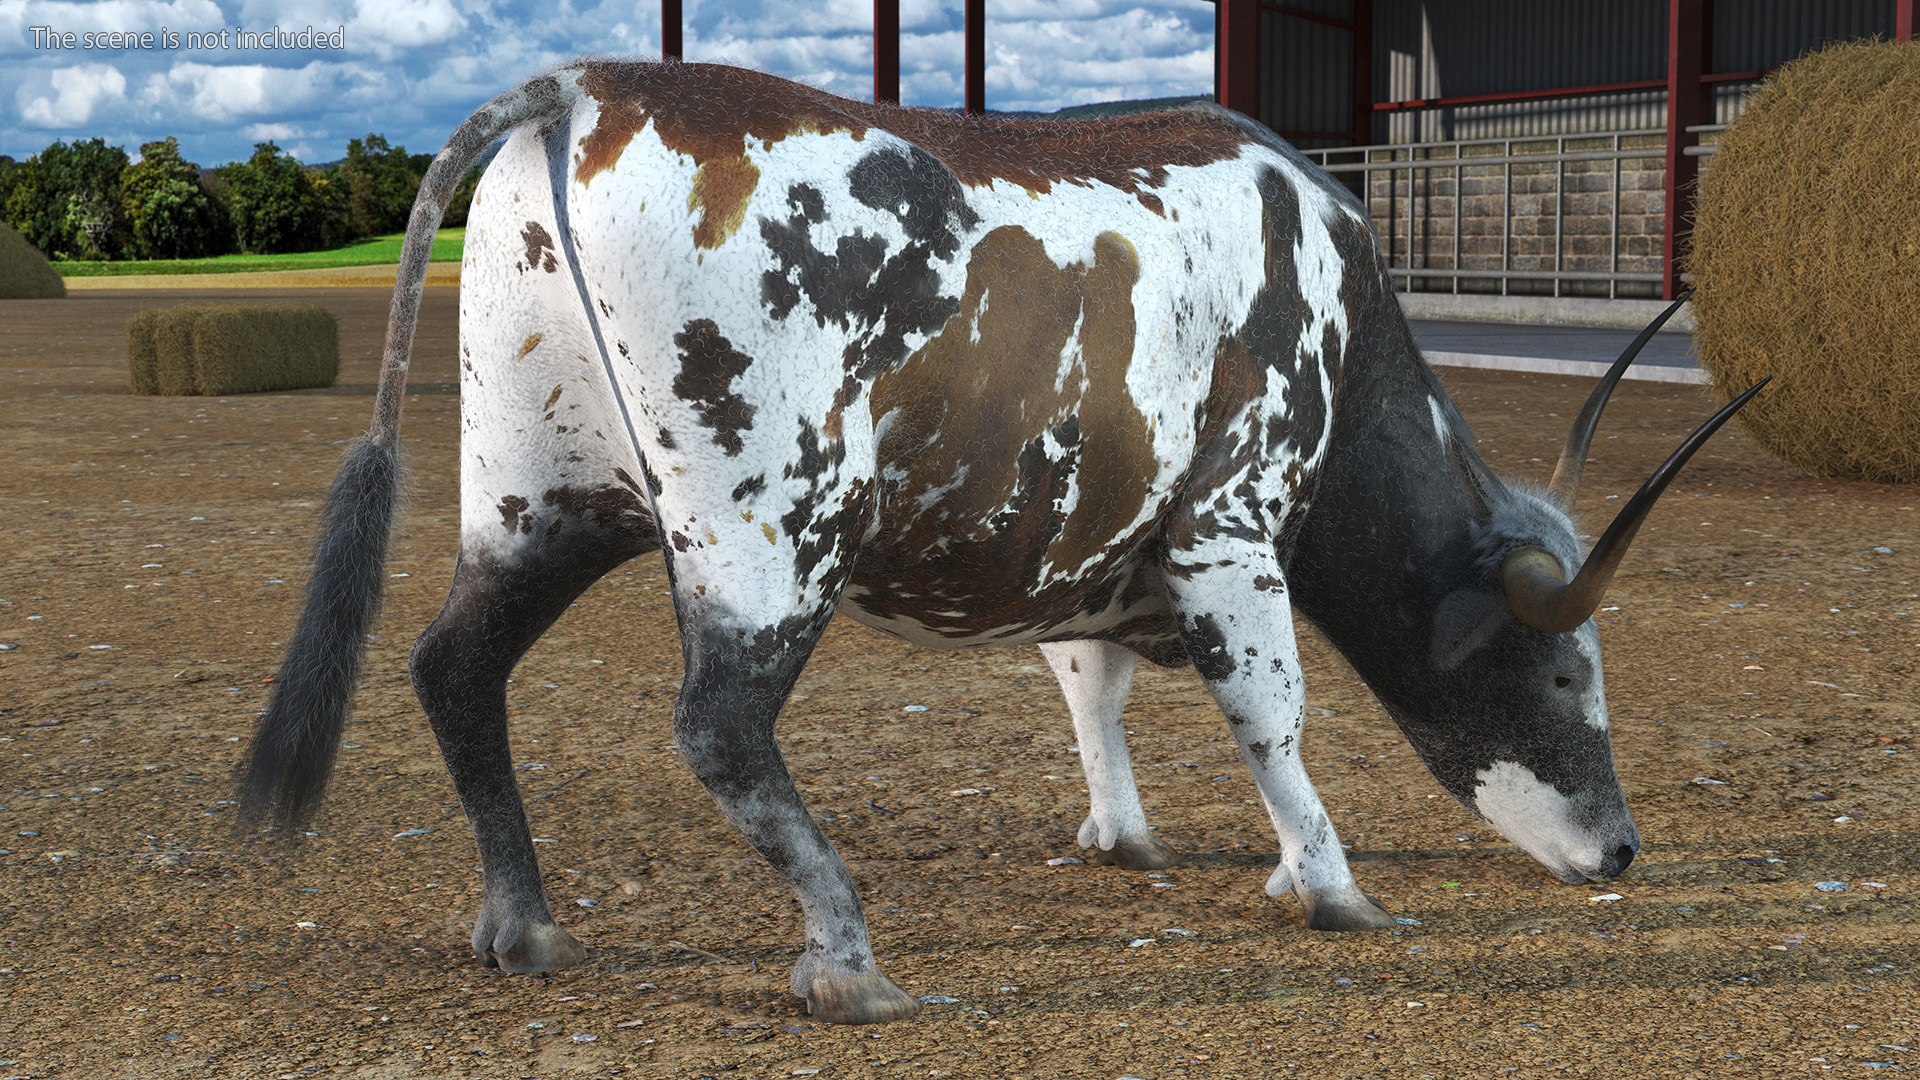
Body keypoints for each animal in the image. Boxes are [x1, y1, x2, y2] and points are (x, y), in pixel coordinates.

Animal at [238, 60, 1765, 1025]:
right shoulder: (1228, 532)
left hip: (542, 498)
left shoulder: (1097, 557)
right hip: (766, 529)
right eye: (1567, 674)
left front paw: (1145, 838)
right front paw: (1331, 884)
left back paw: (524, 923)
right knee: (719, 725)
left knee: (454, 666)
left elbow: (1091, 689)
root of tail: (584, 83)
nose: (1624, 853)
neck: (1328, 295)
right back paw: (844, 958)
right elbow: (1270, 709)